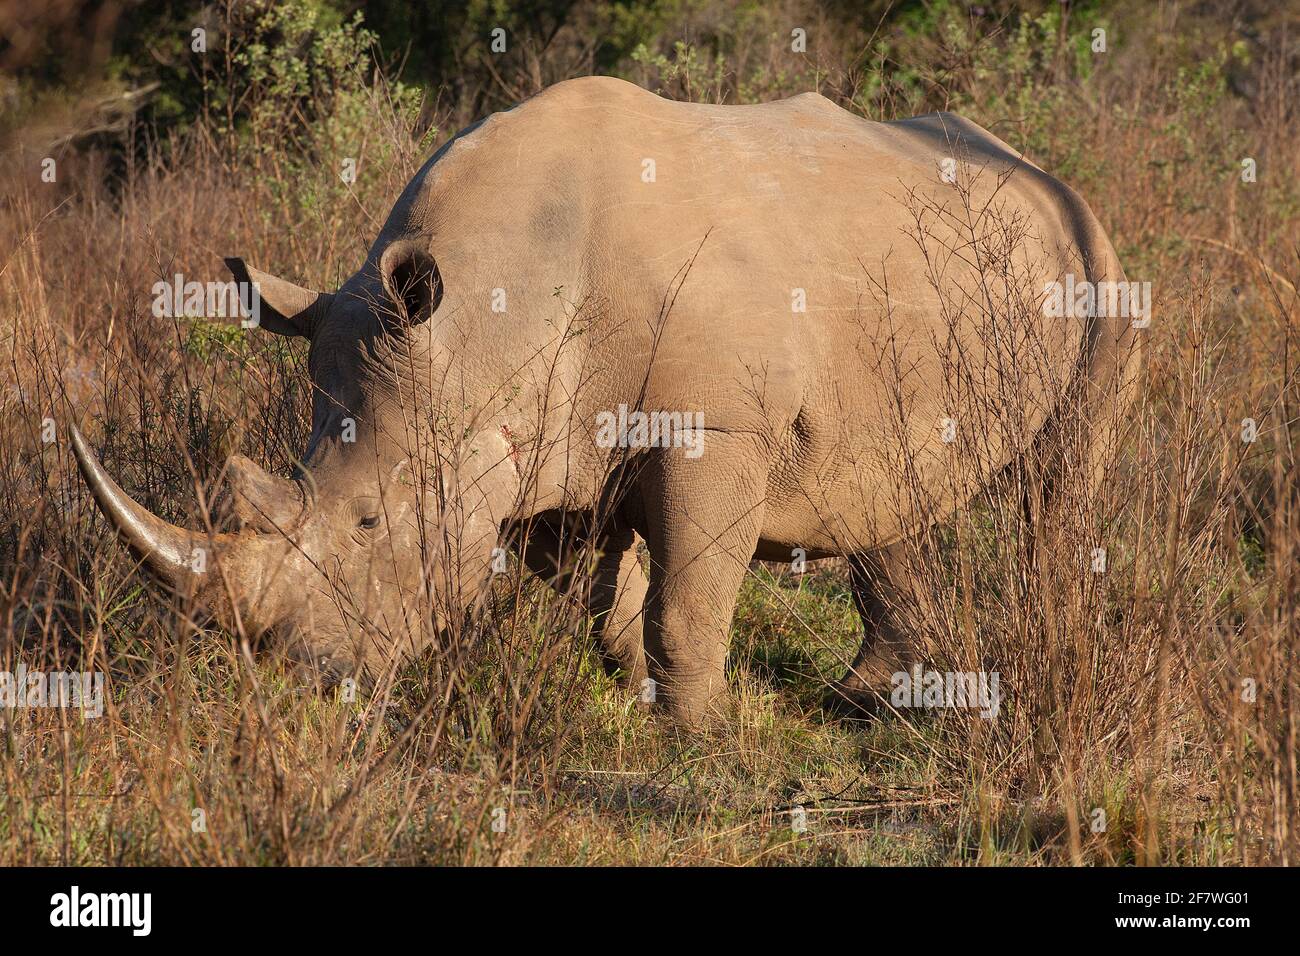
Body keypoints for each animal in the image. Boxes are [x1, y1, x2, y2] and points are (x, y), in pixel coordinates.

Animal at [72, 76, 1141, 723]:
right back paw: (864, 699)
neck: (476, 331)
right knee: (888, 493)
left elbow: (687, 596)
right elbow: (615, 589)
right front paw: (631, 690)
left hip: (1098, 274)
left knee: (1061, 482)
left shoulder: (716, 428)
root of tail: (1047, 173)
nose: (305, 683)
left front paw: (700, 735)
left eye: (371, 520)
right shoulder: (554, 436)